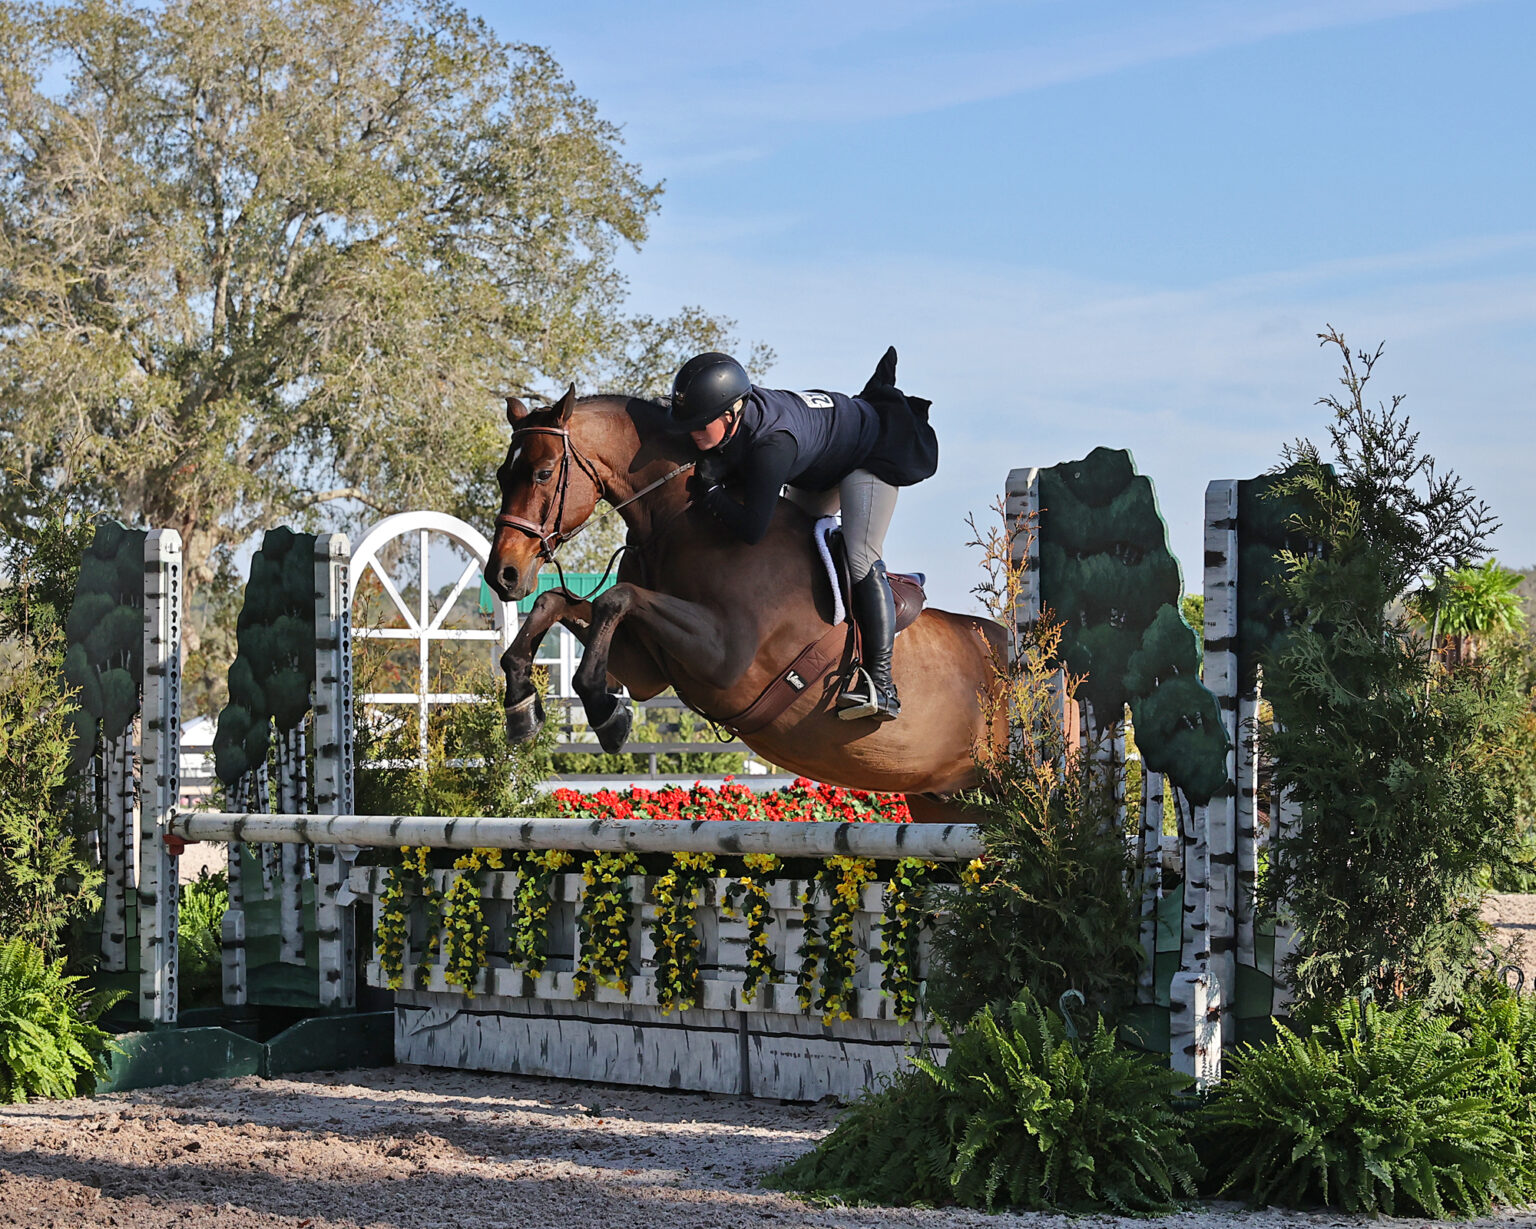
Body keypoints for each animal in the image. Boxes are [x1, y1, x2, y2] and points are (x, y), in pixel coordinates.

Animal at [485, 386, 1008, 820]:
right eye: (502, 474)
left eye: (543, 473)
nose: (502, 575)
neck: (681, 519)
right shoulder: (648, 668)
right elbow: (555, 601)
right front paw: (522, 706)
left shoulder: (727, 660)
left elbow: (617, 596)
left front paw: (601, 706)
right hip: (942, 800)